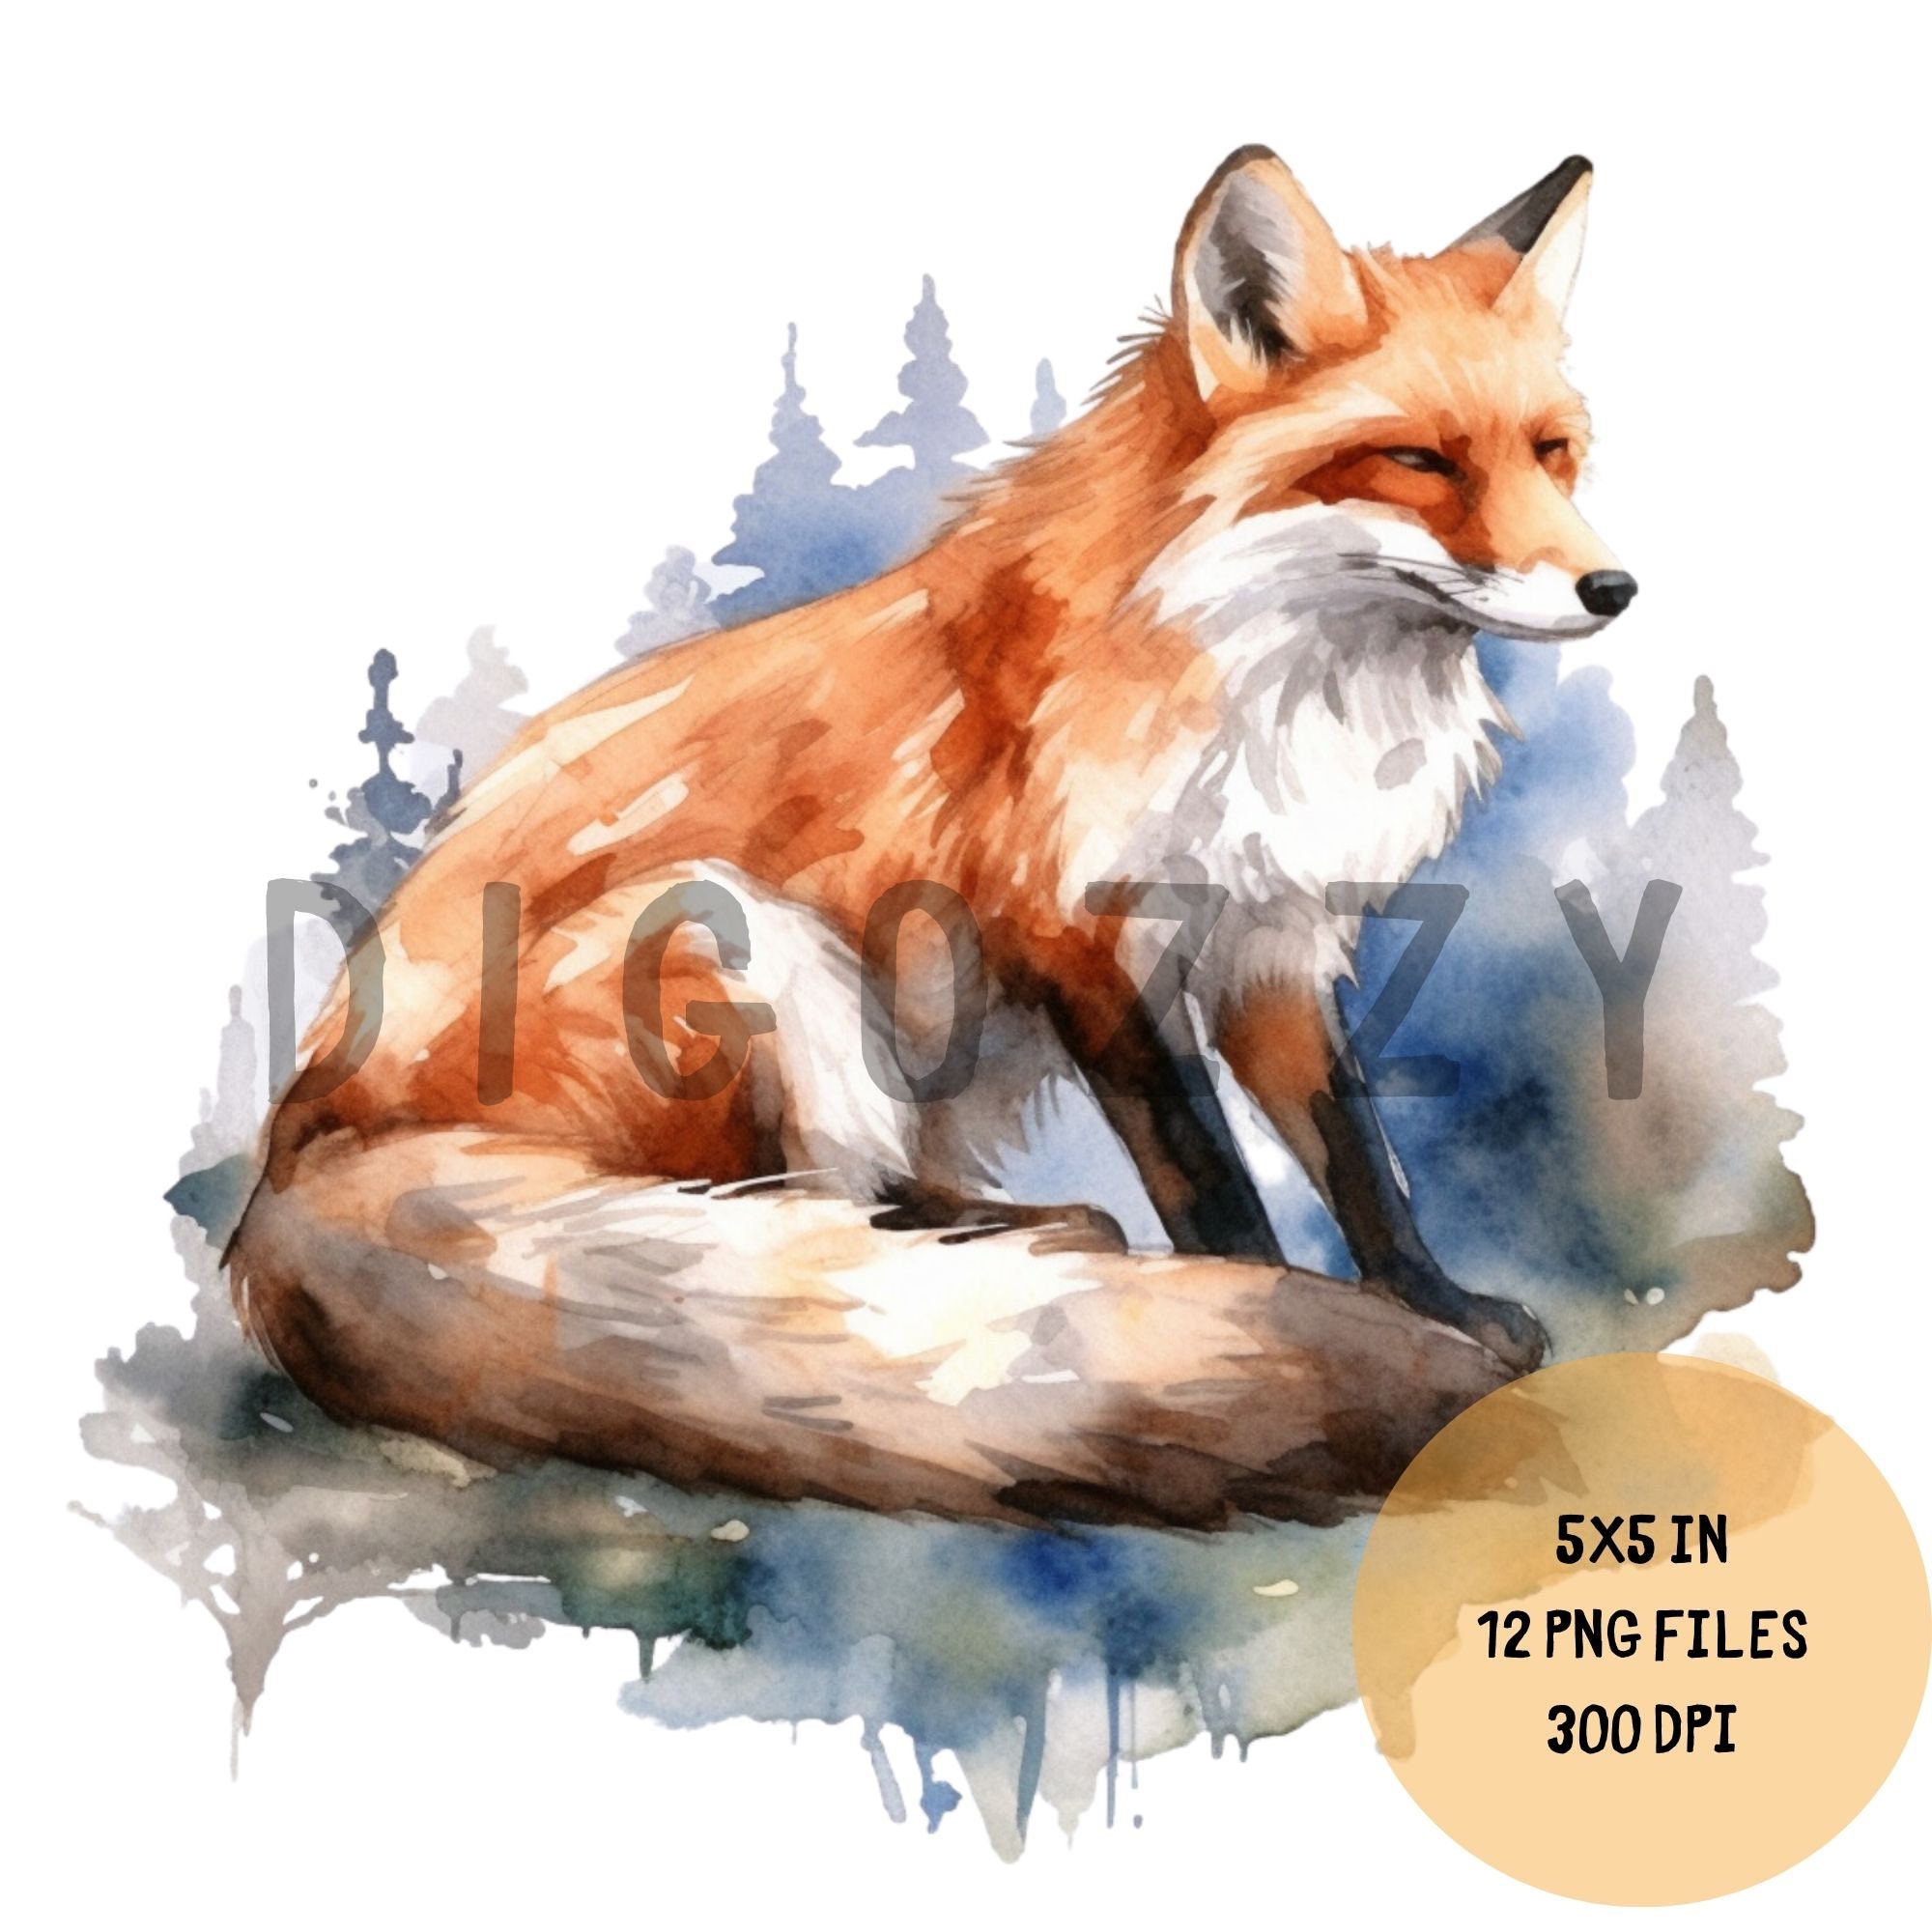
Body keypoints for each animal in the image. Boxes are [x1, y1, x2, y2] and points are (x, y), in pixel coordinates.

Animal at [230, 148, 1638, 1528]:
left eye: (1552, 454)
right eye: (1421, 462)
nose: (1613, 588)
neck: (1267, 679)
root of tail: (301, 1142)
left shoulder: (1272, 936)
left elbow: (1356, 1158)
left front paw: (1434, 1306)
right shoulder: (1082, 935)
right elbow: (1207, 1173)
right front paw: (1265, 1299)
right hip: (739, 935)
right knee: (799, 1209)